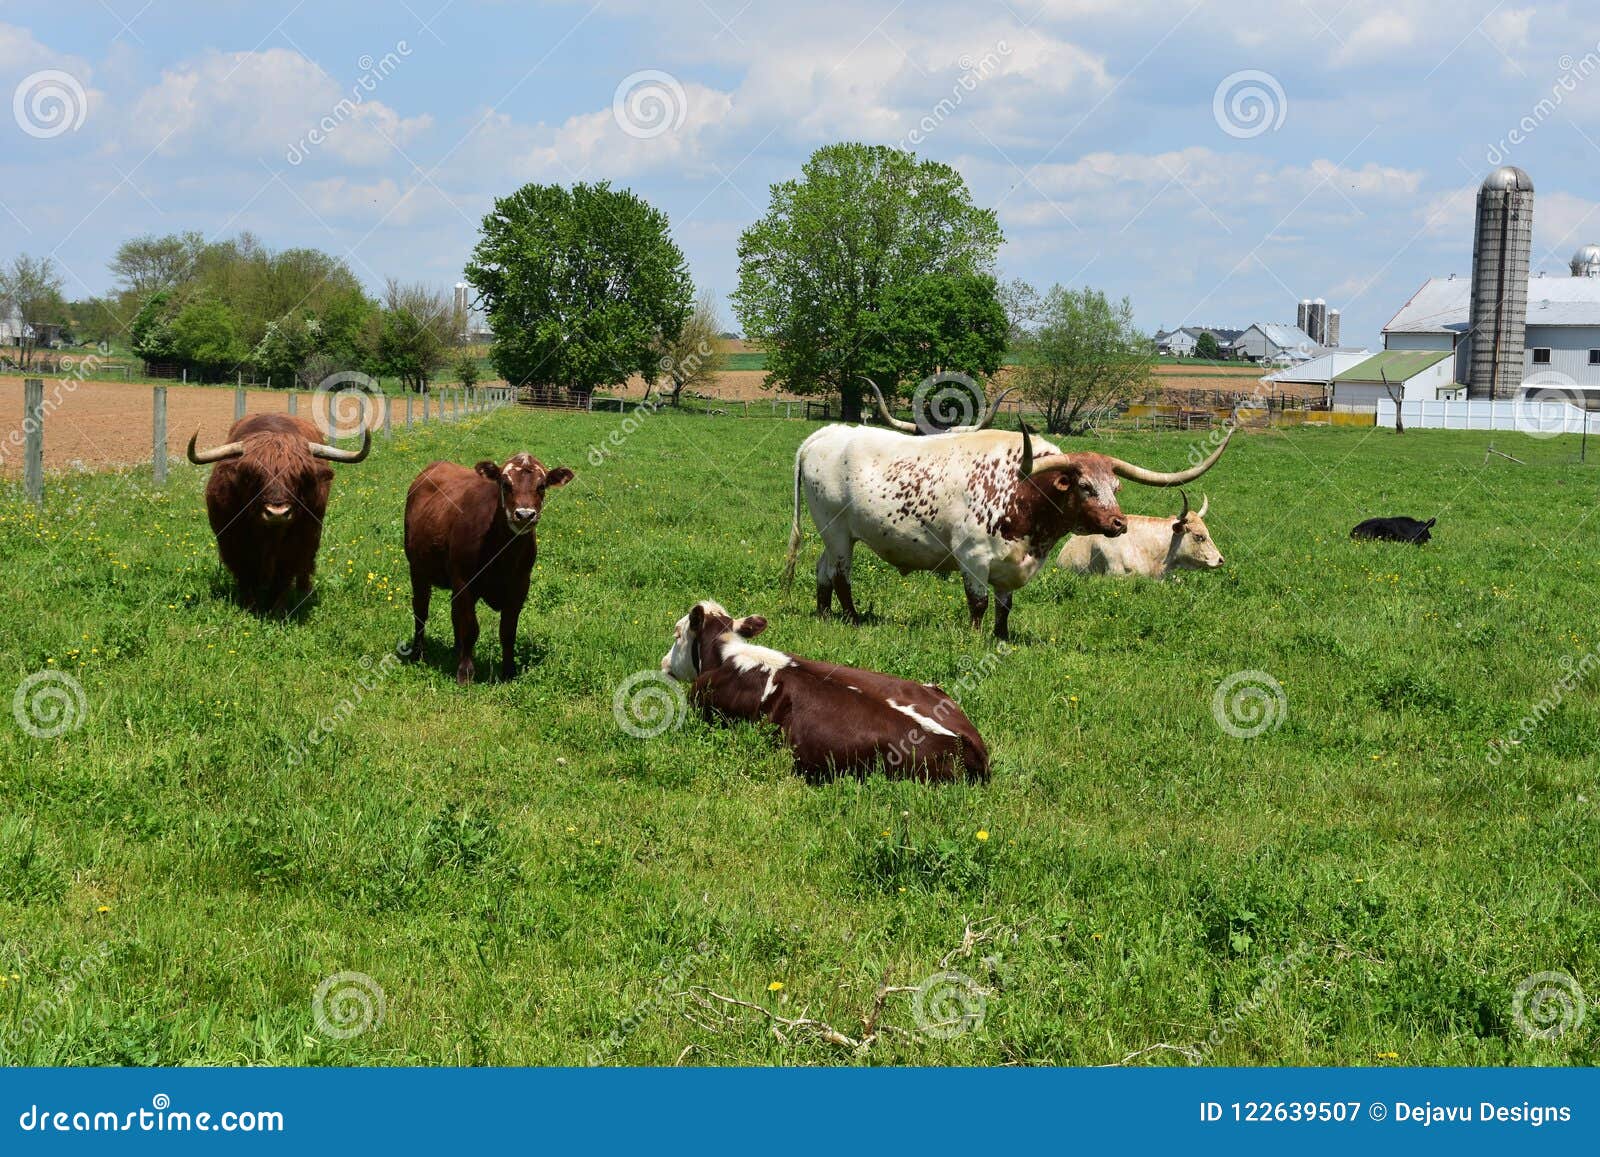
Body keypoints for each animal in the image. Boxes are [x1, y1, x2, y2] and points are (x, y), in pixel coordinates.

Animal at [187, 413, 370, 612]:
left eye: (301, 475)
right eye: (253, 475)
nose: (277, 512)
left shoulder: (300, 541)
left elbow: (285, 575)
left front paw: (278, 610)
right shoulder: (232, 541)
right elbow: (245, 574)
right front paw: (250, 607)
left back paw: (304, 591)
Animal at [403, 452, 574, 685]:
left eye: (542, 486)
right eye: (505, 484)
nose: (525, 515)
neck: (503, 552)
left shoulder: (520, 585)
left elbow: (507, 631)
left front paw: (509, 671)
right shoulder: (465, 581)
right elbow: (470, 628)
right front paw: (465, 673)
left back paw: (456, 650)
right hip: (417, 569)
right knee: (421, 609)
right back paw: (417, 653)